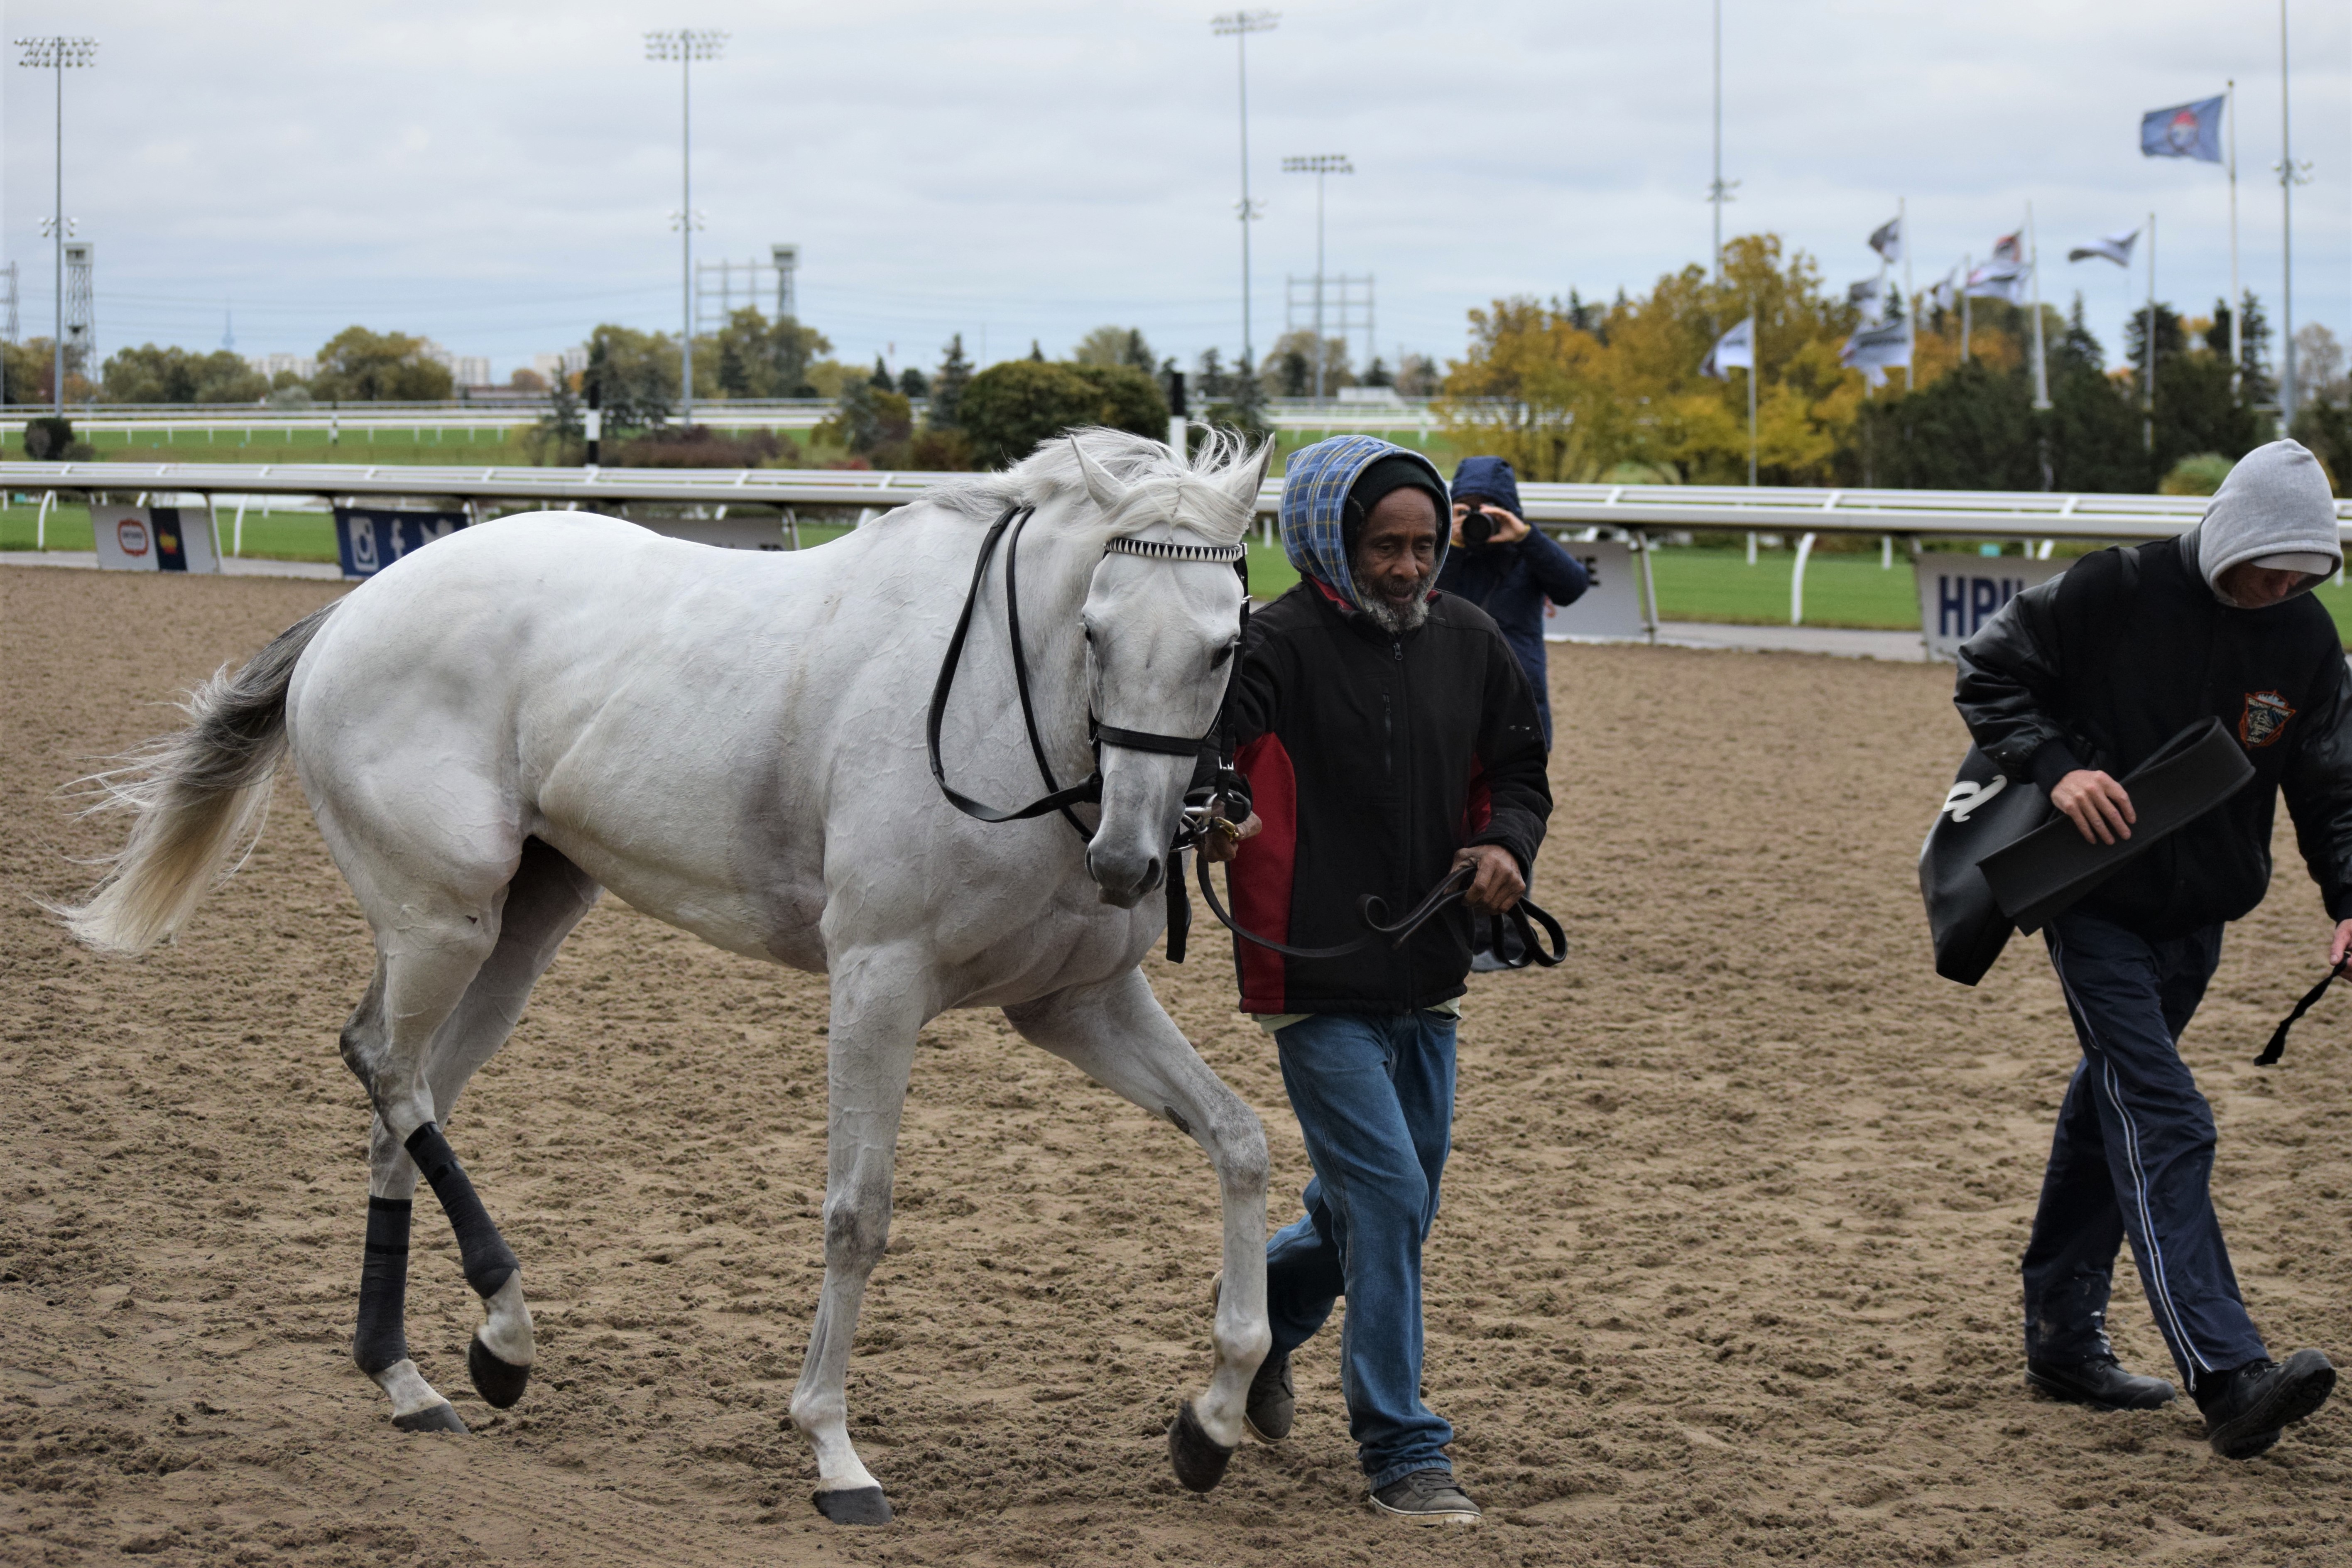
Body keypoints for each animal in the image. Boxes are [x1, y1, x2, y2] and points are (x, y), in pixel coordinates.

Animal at [60, 427, 1277, 1525]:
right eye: (1095, 630)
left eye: (1224, 646)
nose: (1126, 861)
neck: (999, 711)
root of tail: (356, 611)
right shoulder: (879, 985)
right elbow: (858, 1214)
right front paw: (833, 1449)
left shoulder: (1073, 1004)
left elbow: (1241, 1141)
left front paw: (1216, 1416)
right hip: (441, 921)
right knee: (384, 1066)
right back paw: (505, 1327)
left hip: (516, 937)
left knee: (406, 1101)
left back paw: (409, 1376)